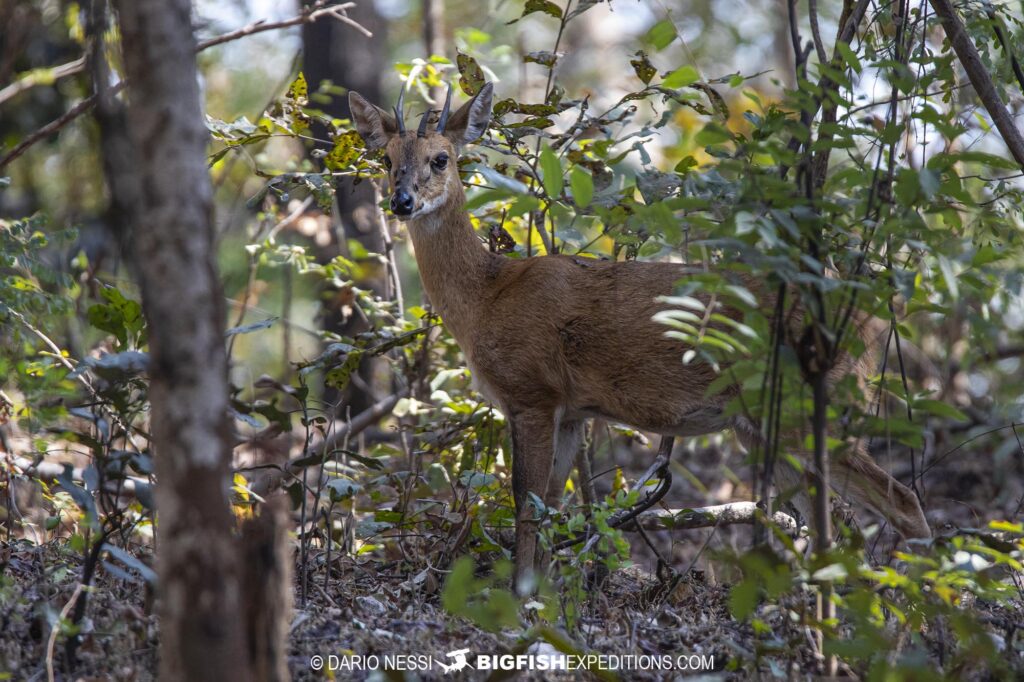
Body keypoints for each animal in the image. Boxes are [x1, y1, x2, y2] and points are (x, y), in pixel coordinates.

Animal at [348, 83, 931, 586]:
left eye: (440, 158)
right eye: (388, 159)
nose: (401, 201)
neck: (487, 295)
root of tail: (873, 320)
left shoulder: (531, 391)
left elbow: (524, 503)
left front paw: (518, 595)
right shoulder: (571, 410)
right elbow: (551, 504)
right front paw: (541, 592)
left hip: (806, 408)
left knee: (899, 501)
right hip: (767, 425)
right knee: (840, 520)